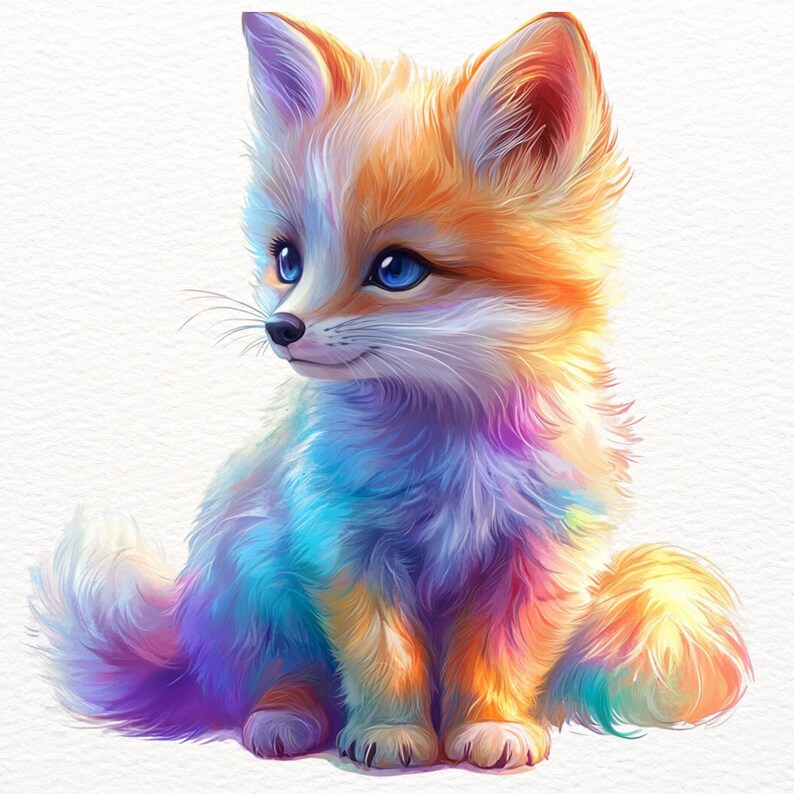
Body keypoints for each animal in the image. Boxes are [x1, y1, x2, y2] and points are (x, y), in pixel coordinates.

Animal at [30, 11, 751, 771]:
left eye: (397, 269)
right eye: (287, 259)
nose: (281, 328)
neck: (452, 440)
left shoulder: (539, 555)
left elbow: (500, 656)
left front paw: (490, 725)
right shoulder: (344, 542)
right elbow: (384, 655)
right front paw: (391, 733)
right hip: (256, 574)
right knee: (275, 674)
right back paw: (284, 719)